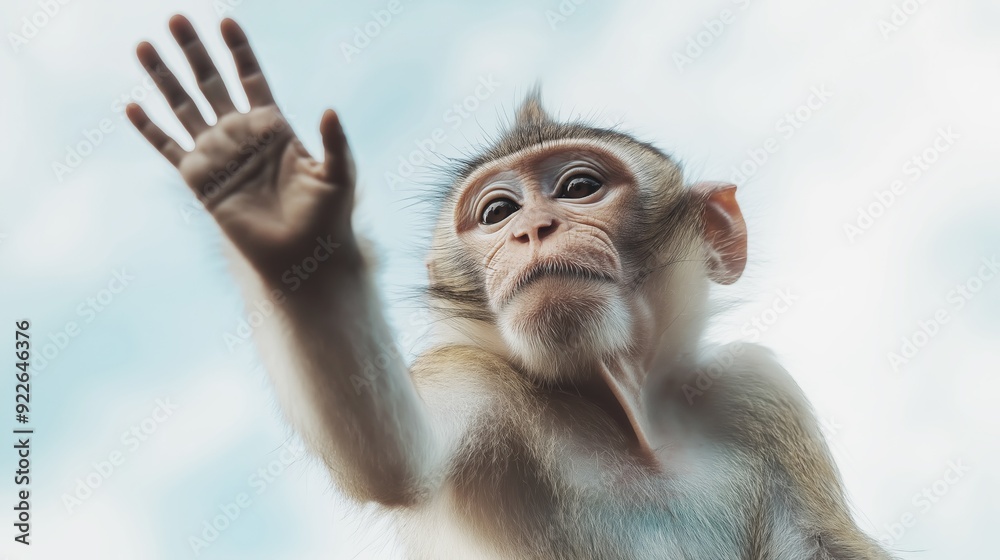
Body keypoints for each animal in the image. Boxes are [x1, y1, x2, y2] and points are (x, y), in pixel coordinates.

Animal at [126, 14, 894, 560]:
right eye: (498, 212)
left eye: (578, 187)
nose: (532, 229)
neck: (625, 413)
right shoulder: (469, 382)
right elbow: (390, 458)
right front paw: (272, 201)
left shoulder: (755, 390)